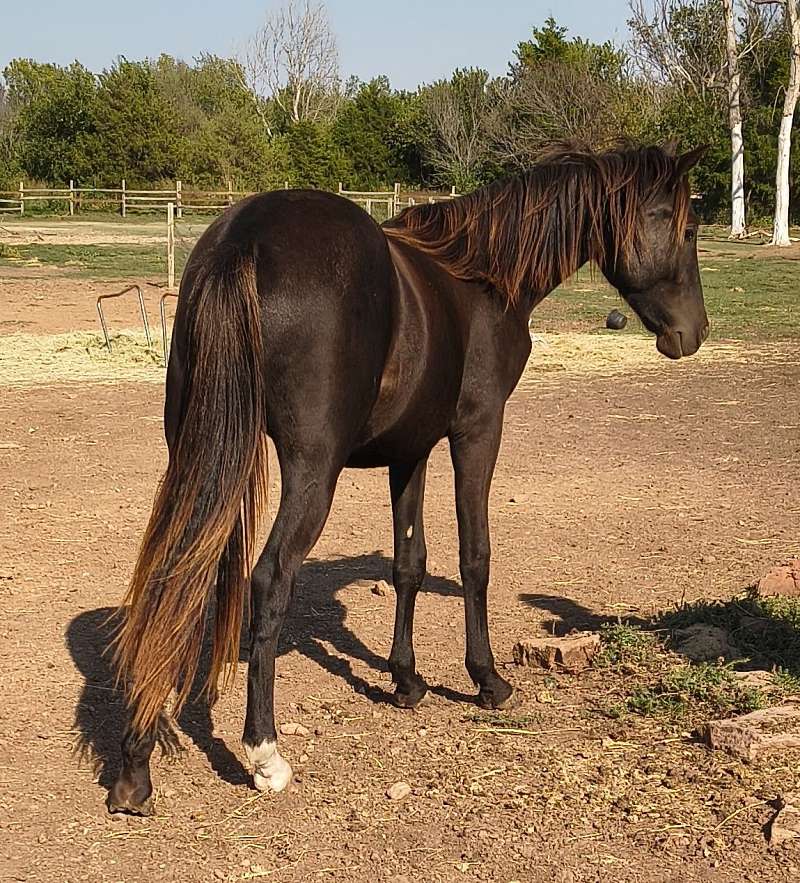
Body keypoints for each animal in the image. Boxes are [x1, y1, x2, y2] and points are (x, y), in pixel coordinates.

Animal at [107, 143, 709, 814]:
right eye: (687, 228)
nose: (693, 333)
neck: (481, 277)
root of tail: (244, 238)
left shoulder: (410, 452)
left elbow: (408, 564)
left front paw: (405, 679)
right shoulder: (478, 432)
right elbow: (475, 555)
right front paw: (487, 679)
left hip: (200, 455)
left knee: (173, 574)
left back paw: (135, 768)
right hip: (310, 473)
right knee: (266, 581)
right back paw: (264, 754)